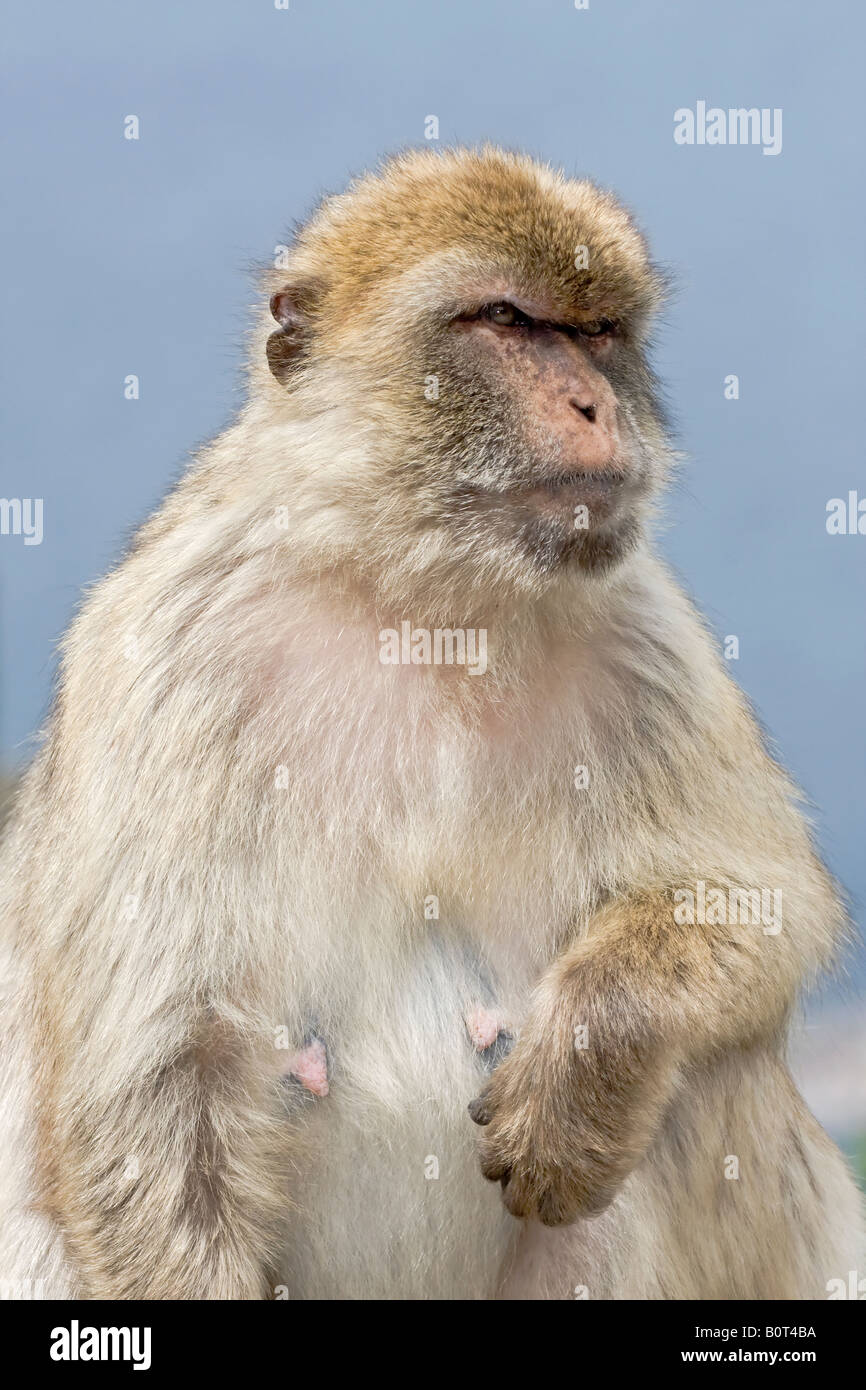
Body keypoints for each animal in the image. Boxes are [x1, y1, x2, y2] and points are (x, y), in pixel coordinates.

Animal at [0, 145, 862, 1301]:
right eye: (503, 319)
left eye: (598, 331)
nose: (597, 404)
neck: (427, 601)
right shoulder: (163, 649)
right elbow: (156, 1069)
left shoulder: (649, 637)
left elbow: (757, 899)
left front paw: (583, 1064)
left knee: (705, 1079)